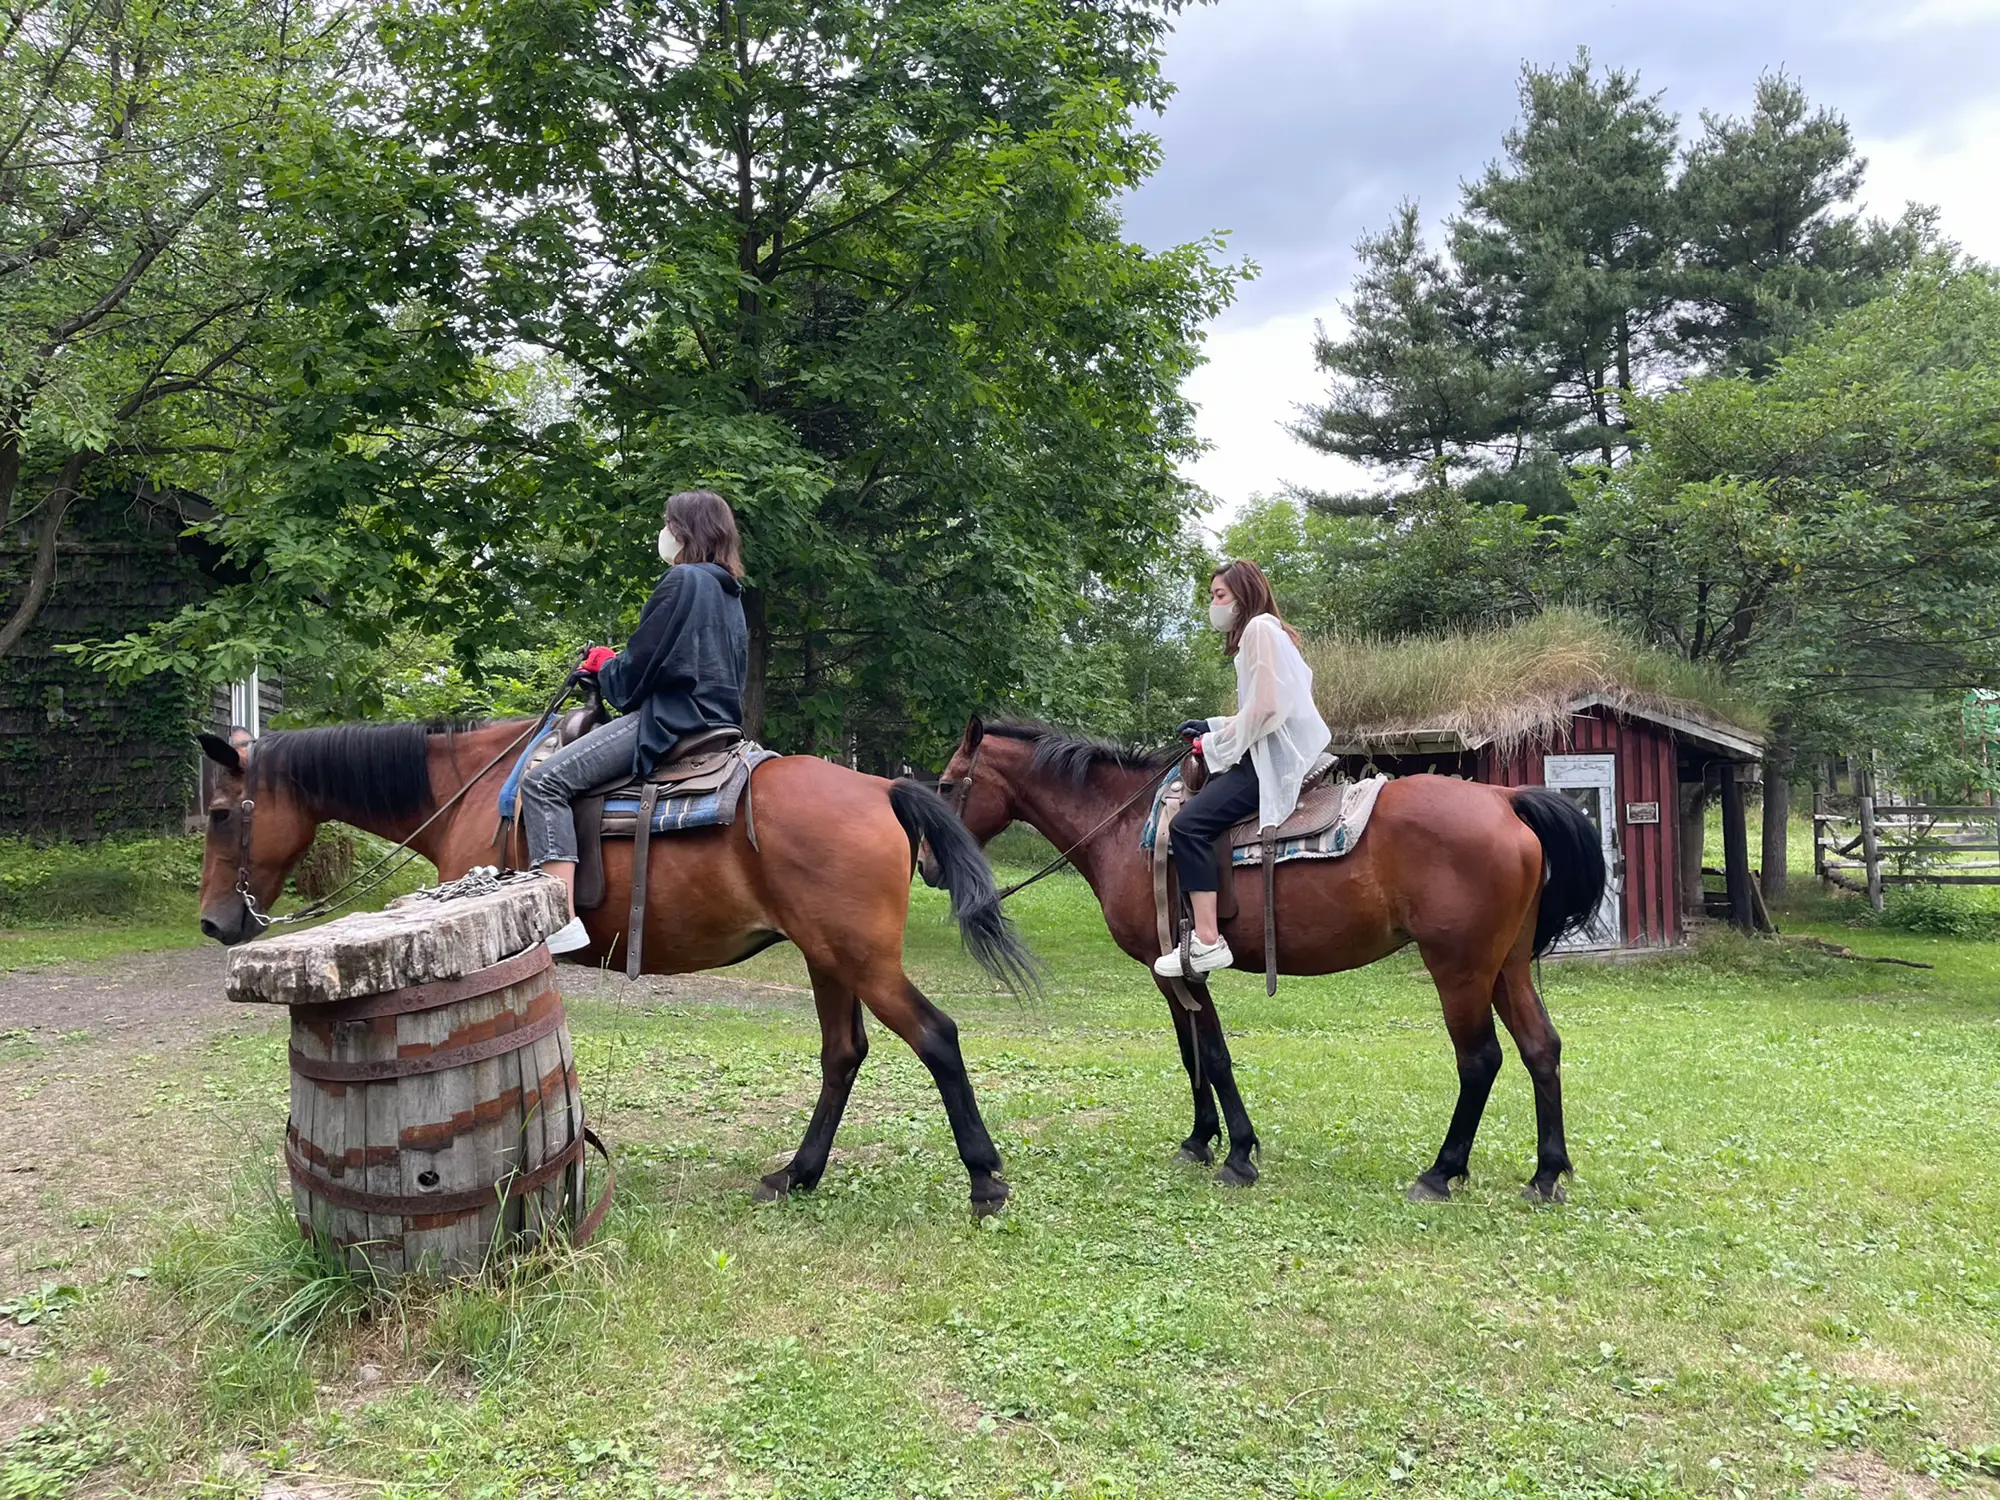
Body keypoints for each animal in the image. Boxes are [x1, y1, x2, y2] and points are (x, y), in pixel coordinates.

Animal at [193, 719, 1039, 1215]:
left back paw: (985, 1180)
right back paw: (797, 1174)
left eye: (222, 814)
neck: (466, 788)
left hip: (859, 958)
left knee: (936, 1037)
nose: (214, 921)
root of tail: (882, 787)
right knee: (844, 1054)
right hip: (827, 957)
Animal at [926, 717, 1607, 1203]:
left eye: (946, 786)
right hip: (1505, 966)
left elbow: (1214, 1056)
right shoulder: (1171, 972)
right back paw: (1546, 1176)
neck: (1127, 827)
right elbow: (1192, 1055)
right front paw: (1200, 1140)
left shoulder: (1177, 967)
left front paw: (1237, 1155)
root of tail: (1505, 798)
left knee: (1481, 1059)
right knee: (1541, 1047)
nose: (929, 868)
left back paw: (1441, 1173)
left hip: (1459, 968)